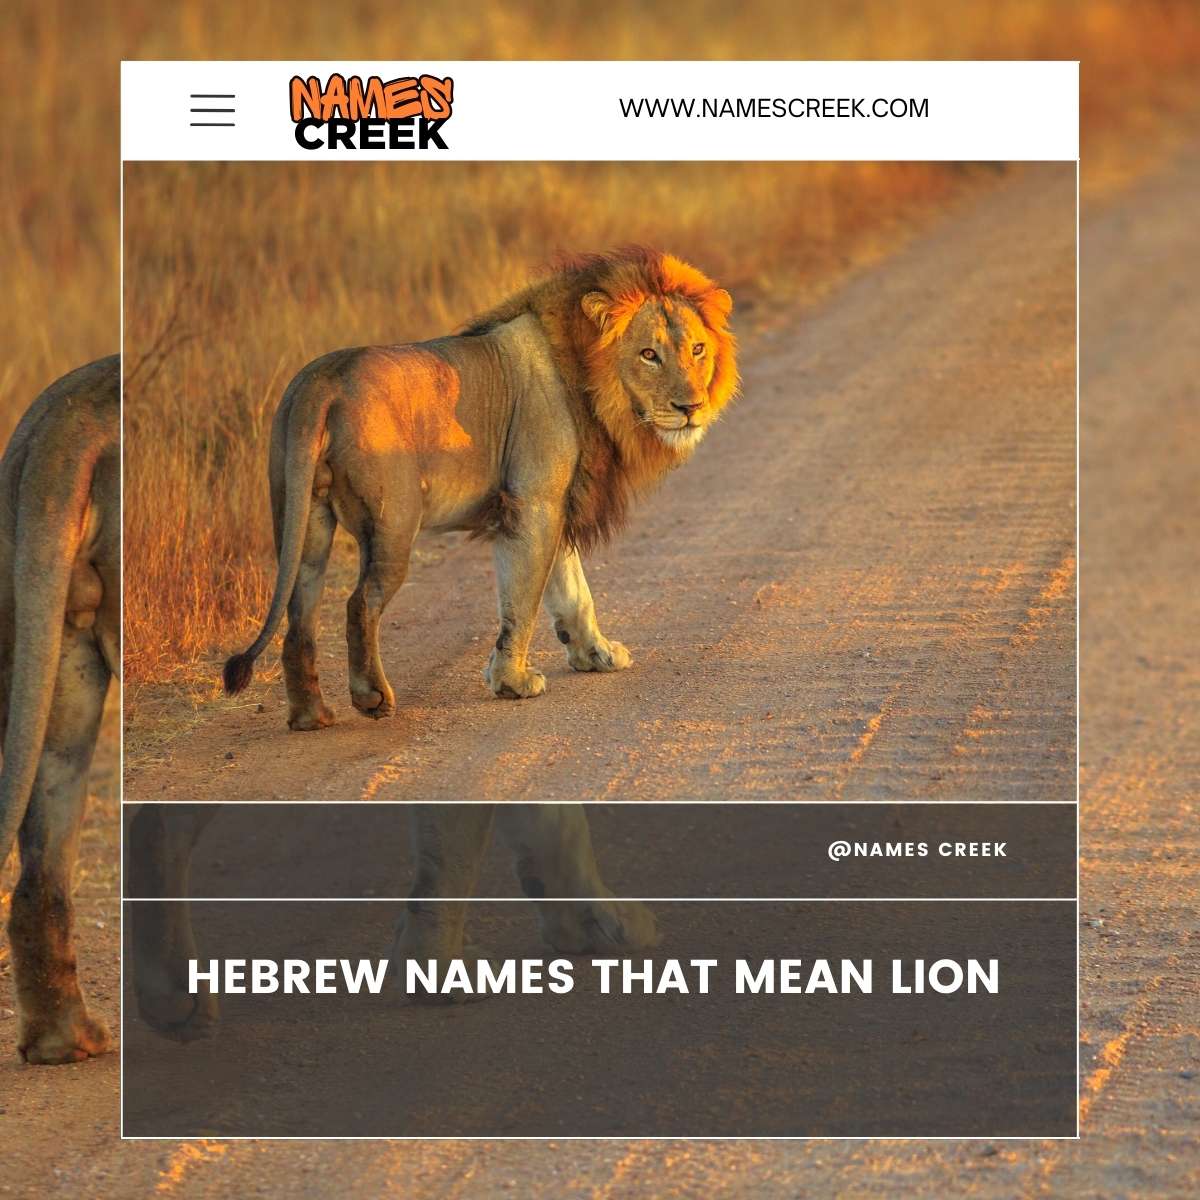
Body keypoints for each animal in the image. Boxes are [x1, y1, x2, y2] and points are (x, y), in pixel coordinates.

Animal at [222, 248, 737, 727]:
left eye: (697, 350)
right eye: (649, 354)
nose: (691, 407)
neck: (590, 377)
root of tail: (322, 381)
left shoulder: (557, 502)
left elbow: (572, 590)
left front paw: (596, 654)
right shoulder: (533, 503)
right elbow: (523, 599)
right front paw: (513, 682)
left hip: (304, 519)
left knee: (299, 616)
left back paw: (311, 715)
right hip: (392, 525)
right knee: (358, 605)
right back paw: (371, 697)